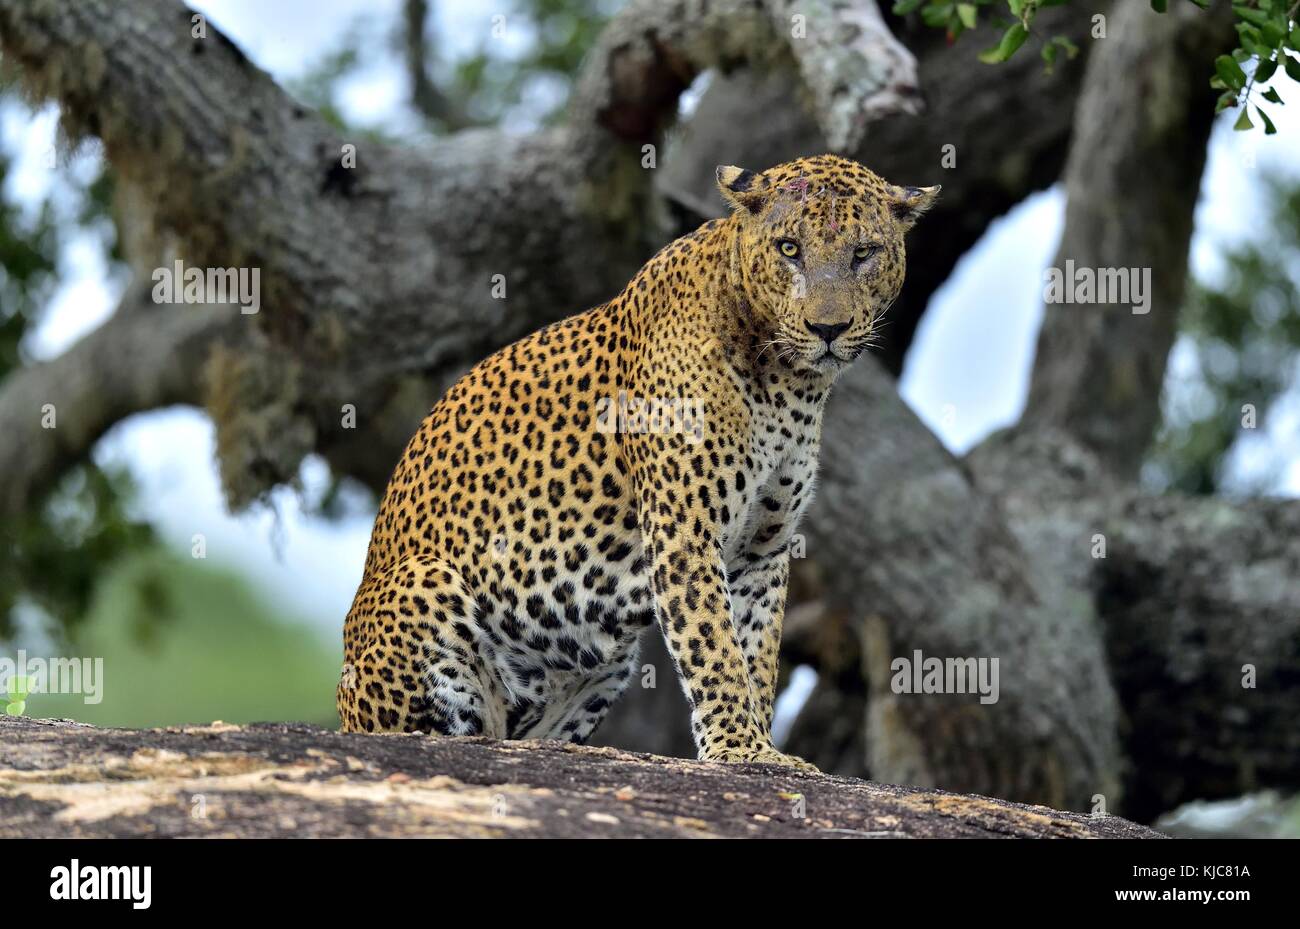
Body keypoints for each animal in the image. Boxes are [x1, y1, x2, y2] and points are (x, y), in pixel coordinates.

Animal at [337, 153, 938, 769]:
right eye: (789, 248)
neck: (789, 386)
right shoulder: (684, 530)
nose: (828, 329)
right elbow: (714, 648)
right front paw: (742, 749)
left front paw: (762, 746)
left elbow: (757, 653)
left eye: (863, 253)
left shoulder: (763, 550)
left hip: (603, 667)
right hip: (422, 582)